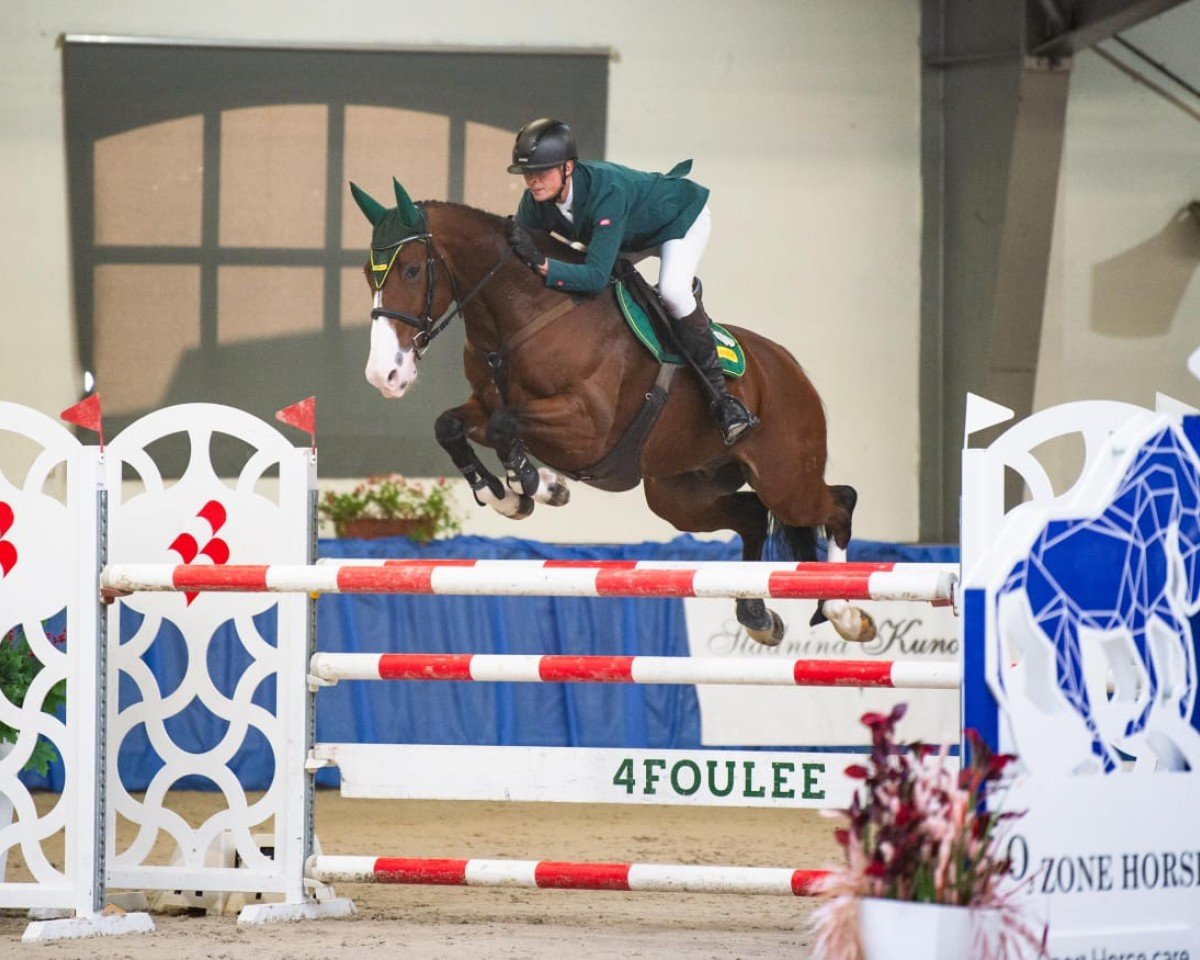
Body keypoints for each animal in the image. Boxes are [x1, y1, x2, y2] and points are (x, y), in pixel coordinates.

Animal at [349, 177, 873, 646]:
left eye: (411, 271)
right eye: (367, 274)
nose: (383, 375)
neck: (523, 313)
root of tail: (788, 367)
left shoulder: (587, 426)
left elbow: (504, 427)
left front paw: (534, 483)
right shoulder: (485, 404)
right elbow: (450, 426)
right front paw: (508, 496)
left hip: (785, 477)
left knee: (837, 502)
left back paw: (844, 611)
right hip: (680, 494)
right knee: (750, 516)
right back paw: (757, 614)